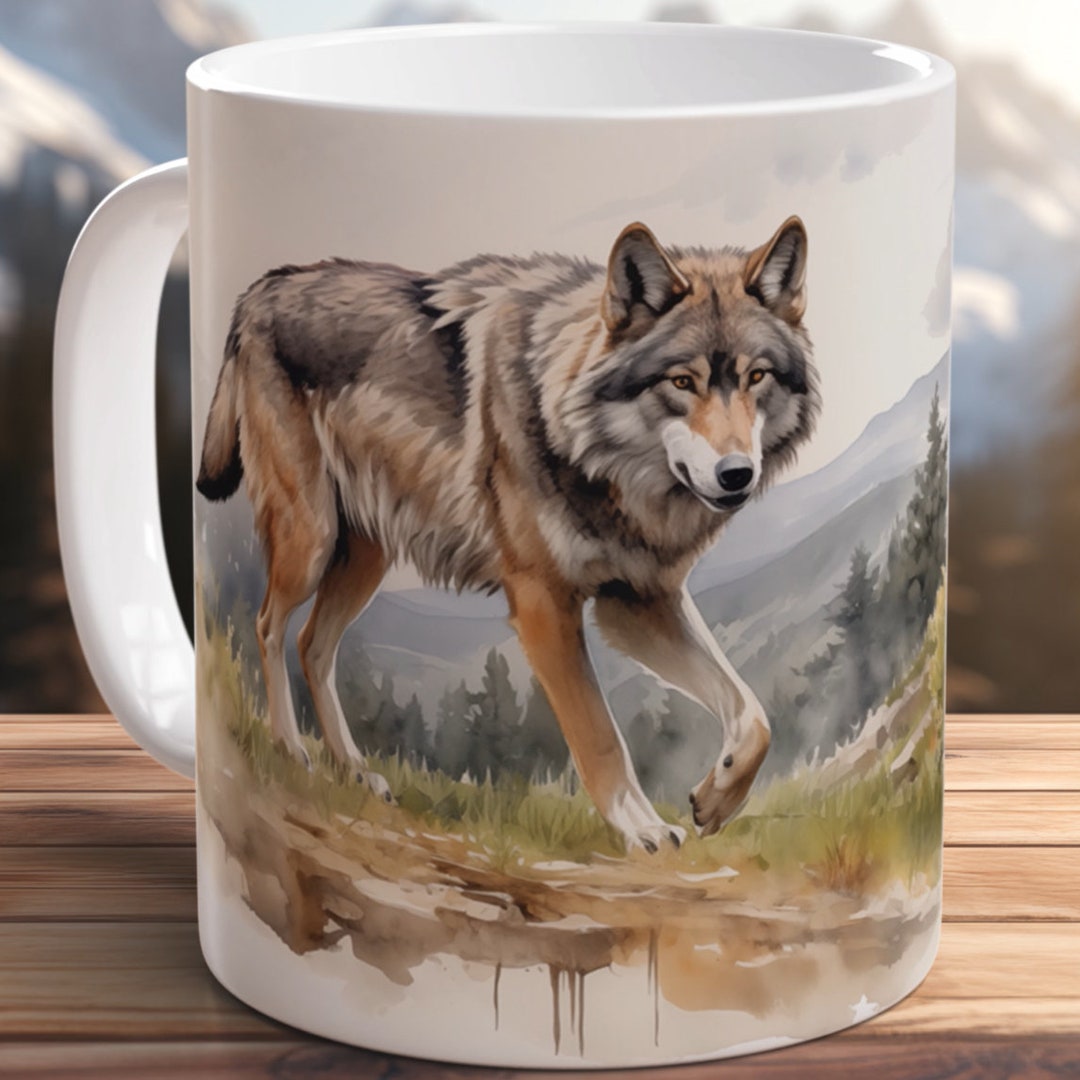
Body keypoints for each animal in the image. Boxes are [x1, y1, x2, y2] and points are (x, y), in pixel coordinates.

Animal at [196, 217, 820, 851]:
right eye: (682, 381)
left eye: (757, 377)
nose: (737, 474)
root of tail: (263, 288)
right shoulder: (545, 603)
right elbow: (599, 734)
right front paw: (640, 826)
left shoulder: (640, 601)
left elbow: (753, 715)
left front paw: (715, 800)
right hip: (312, 539)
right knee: (267, 626)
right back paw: (288, 749)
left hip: (367, 555)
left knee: (313, 645)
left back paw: (353, 770)